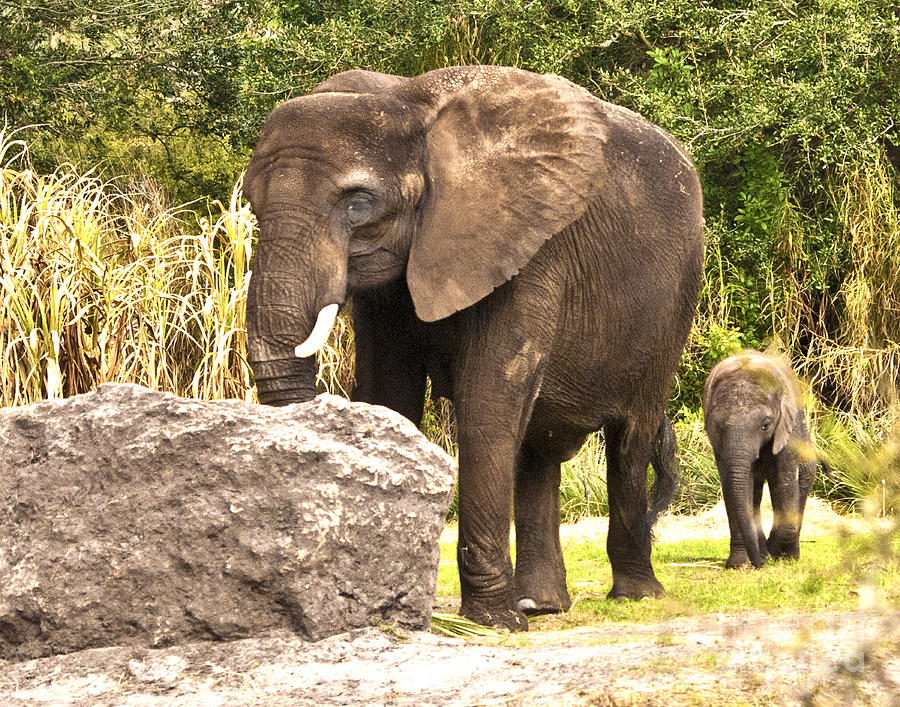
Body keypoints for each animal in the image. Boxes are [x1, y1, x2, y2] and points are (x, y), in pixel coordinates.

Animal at [242, 65, 705, 629]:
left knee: (630, 438)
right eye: (251, 205)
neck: (411, 105)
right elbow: (388, 395)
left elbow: (488, 399)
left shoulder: (528, 245)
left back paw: (634, 597)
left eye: (358, 202)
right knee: (539, 450)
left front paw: (492, 623)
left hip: (675, 299)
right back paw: (541, 605)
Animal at [703, 350, 819, 569]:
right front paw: (741, 564)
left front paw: (774, 553)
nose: (759, 563)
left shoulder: (786, 429)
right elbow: (733, 486)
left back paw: (788, 555)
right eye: (718, 428)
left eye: (765, 425)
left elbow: (784, 480)